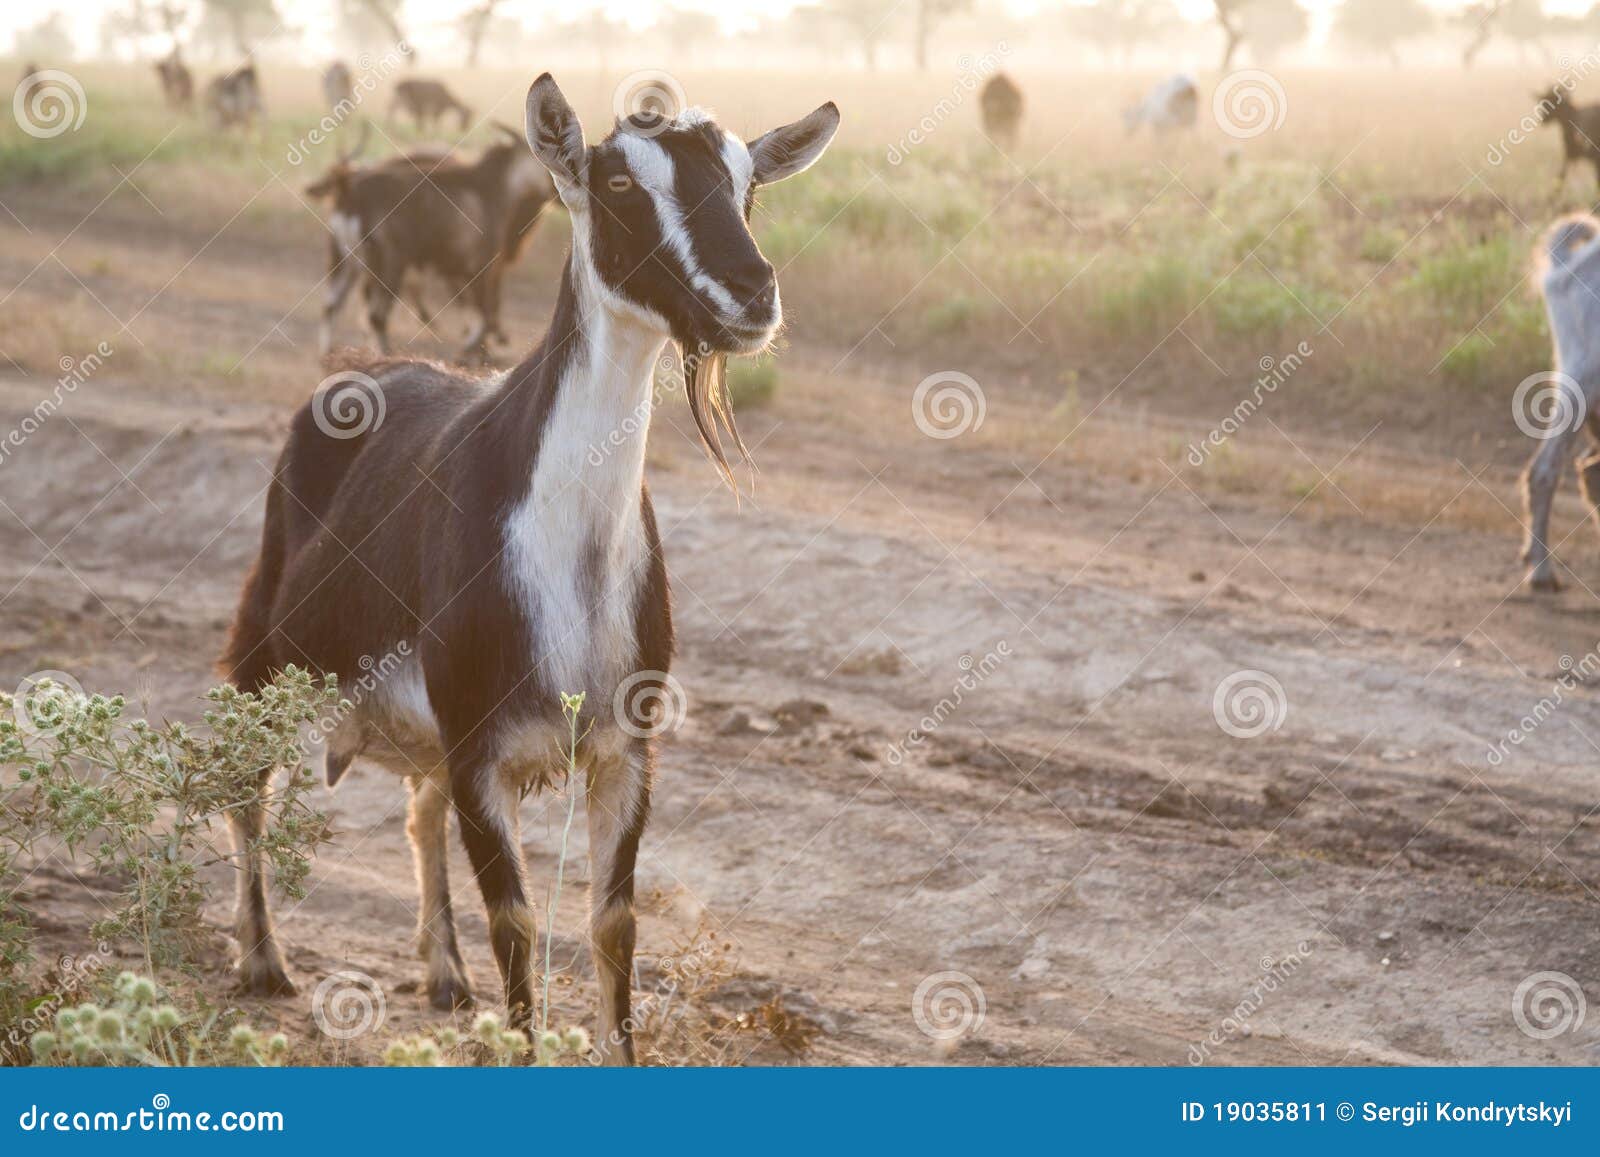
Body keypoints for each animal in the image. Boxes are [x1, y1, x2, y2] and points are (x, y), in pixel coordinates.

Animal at [309, 126, 555, 359]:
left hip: (345, 261)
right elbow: (483, 315)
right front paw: (471, 351)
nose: (556, 191)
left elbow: (477, 313)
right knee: (376, 316)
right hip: (389, 265)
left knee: (331, 306)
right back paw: (387, 355)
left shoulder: (457, 271)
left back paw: (329, 356)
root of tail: (349, 194)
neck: (489, 188)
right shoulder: (479, 267)